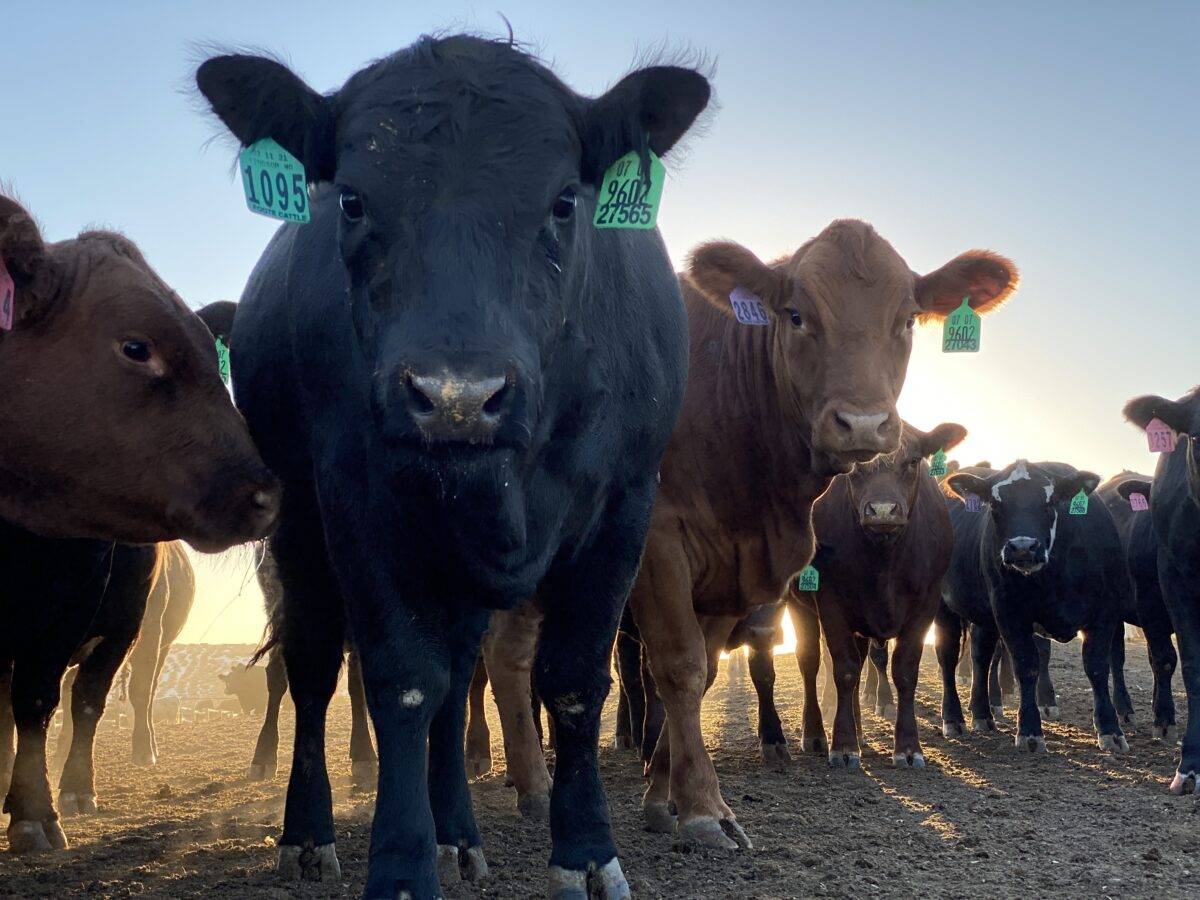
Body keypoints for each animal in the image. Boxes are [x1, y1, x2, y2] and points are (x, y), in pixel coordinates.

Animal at [195, 34, 712, 897]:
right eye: (353, 201)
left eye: (564, 203)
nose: (457, 396)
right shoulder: (356, 500)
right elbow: (403, 681)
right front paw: (402, 864)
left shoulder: (626, 505)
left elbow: (573, 681)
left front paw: (585, 851)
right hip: (301, 533)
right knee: (313, 670)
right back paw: (309, 832)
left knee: (458, 675)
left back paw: (459, 833)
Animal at [487, 223, 1018, 849]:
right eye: (796, 314)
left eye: (908, 318)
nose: (863, 424)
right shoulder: (659, 542)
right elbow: (680, 665)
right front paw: (702, 807)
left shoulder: (731, 568)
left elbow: (707, 672)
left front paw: (662, 795)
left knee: (508, 656)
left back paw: (532, 785)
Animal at [942, 460, 1130, 754]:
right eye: (995, 504)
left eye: (1050, 502)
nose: (1022, 547)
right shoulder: (1010, 612)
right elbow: (1026, 665)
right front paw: (1030, 730)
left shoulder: (1105, 612)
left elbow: (1098, 667)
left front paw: (1110, 729)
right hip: (944, 607)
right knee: (948, 658)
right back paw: (953, 718)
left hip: (984, 618)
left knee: (981, 656)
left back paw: (983, 714)